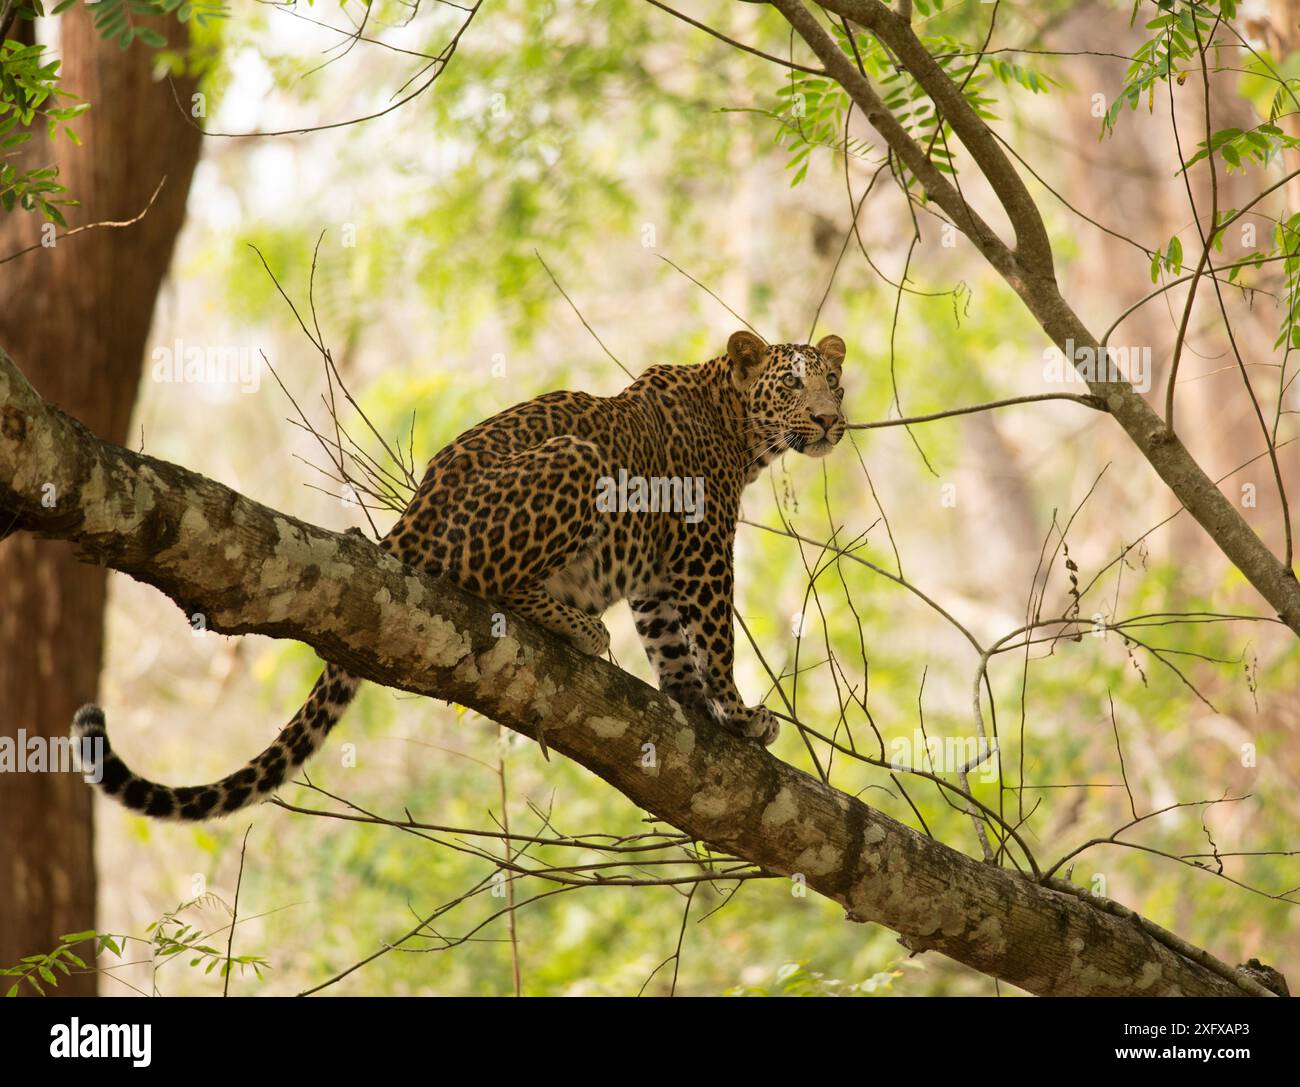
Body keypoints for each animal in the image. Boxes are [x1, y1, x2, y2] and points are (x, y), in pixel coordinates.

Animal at [72, 330, 849, 821]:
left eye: (834, 382)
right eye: (792, 386)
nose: (828, 421)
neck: (740, 430)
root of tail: (403, 528)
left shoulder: (660, 572)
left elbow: (670, 642)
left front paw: (691, 703)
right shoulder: (703, 547)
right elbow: (715, 639)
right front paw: (742, 716)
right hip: (577, 459)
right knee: (495, 585)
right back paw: (578, 624)